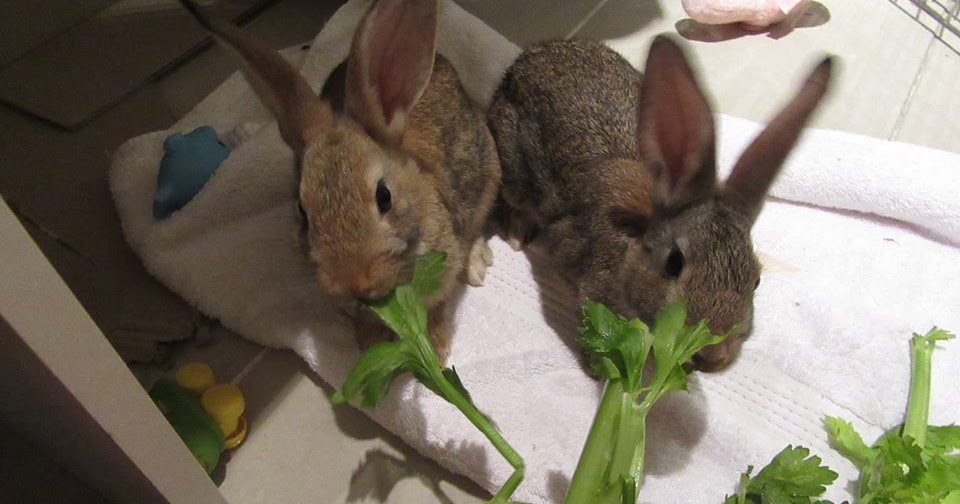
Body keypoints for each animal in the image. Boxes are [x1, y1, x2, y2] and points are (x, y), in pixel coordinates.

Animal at [178, 0, 501, 362]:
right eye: (302, 211)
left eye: (384, 196)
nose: (351, 283)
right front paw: (370, 345)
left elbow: (440, 307)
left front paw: (435, 348)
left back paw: (477, 262)